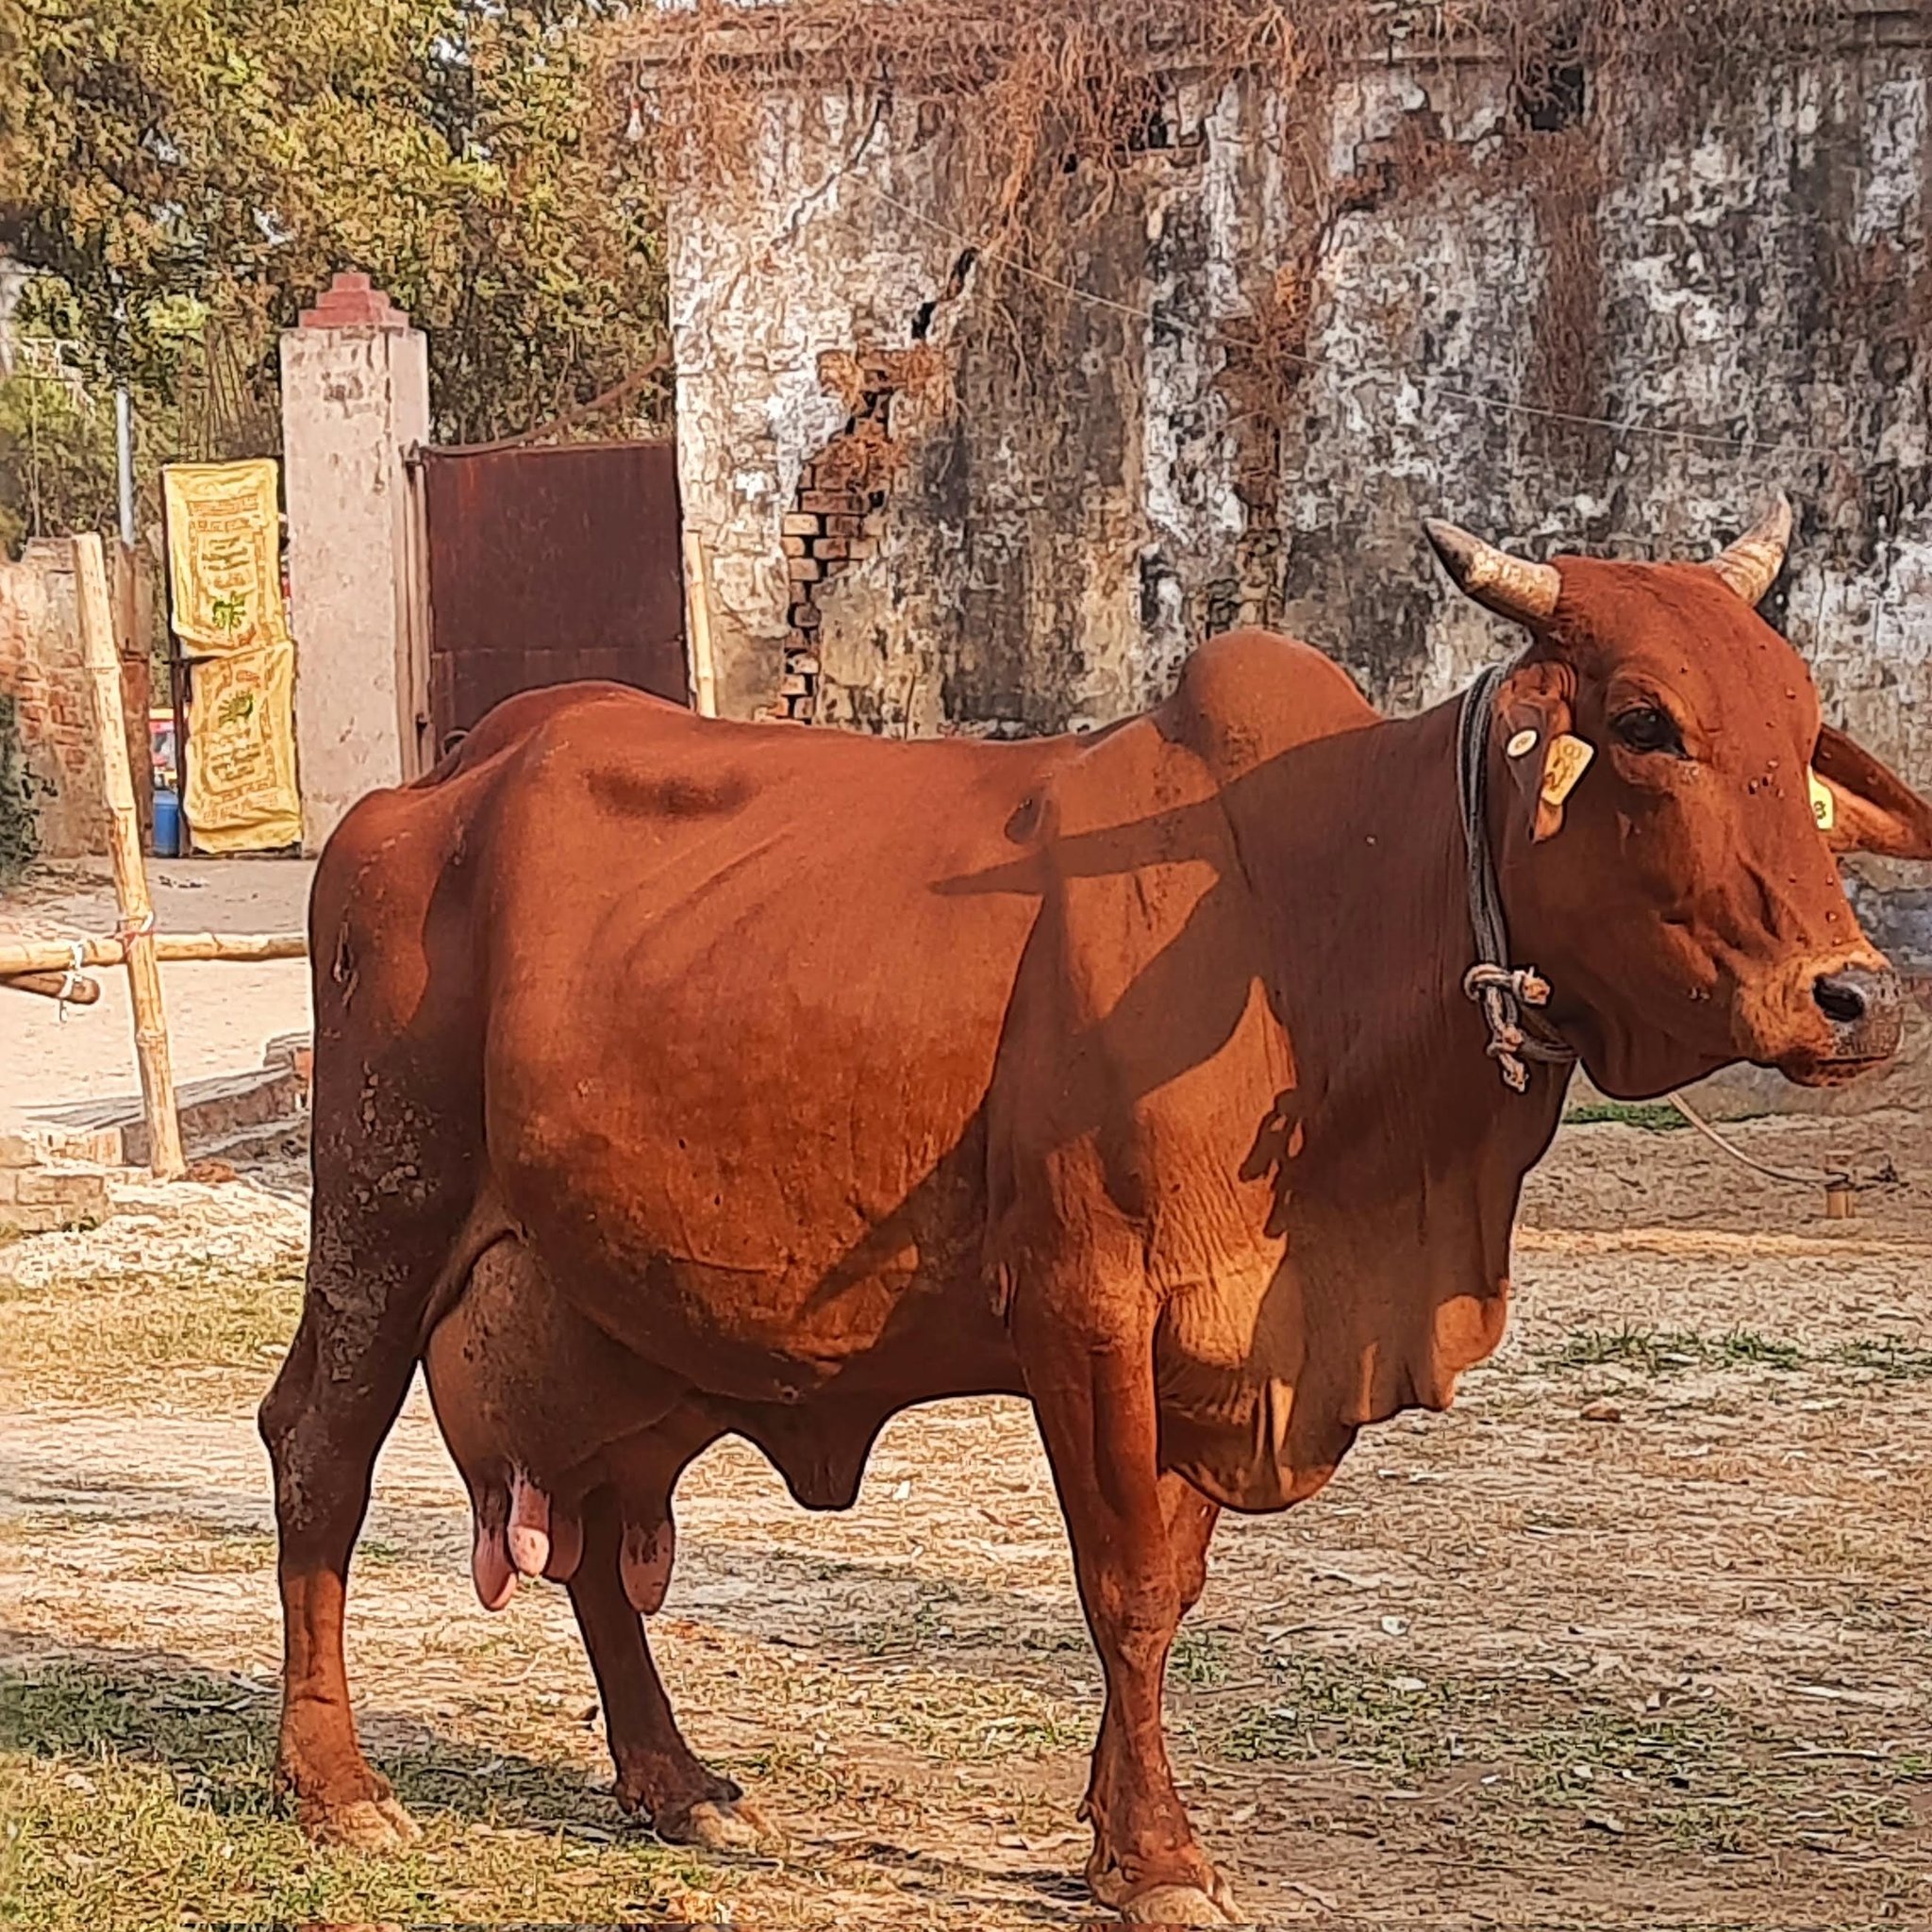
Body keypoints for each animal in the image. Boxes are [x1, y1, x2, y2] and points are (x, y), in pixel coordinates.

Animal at [260, 499, 1932, 1924]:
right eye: (1646, 724)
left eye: (1801, 727)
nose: (1855, 998)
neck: (1320, 921)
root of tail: (427, 793)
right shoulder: (1087, 1302)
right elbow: (1123, 1586)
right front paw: (1157, 1857)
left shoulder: (1223, 1342)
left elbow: (1173, 1589)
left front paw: (1110, 1823)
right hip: (384, 1213)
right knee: (320, 1453)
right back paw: (337, 1787)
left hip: (617, 1305)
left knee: (601, 1537)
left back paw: (675, 1783)